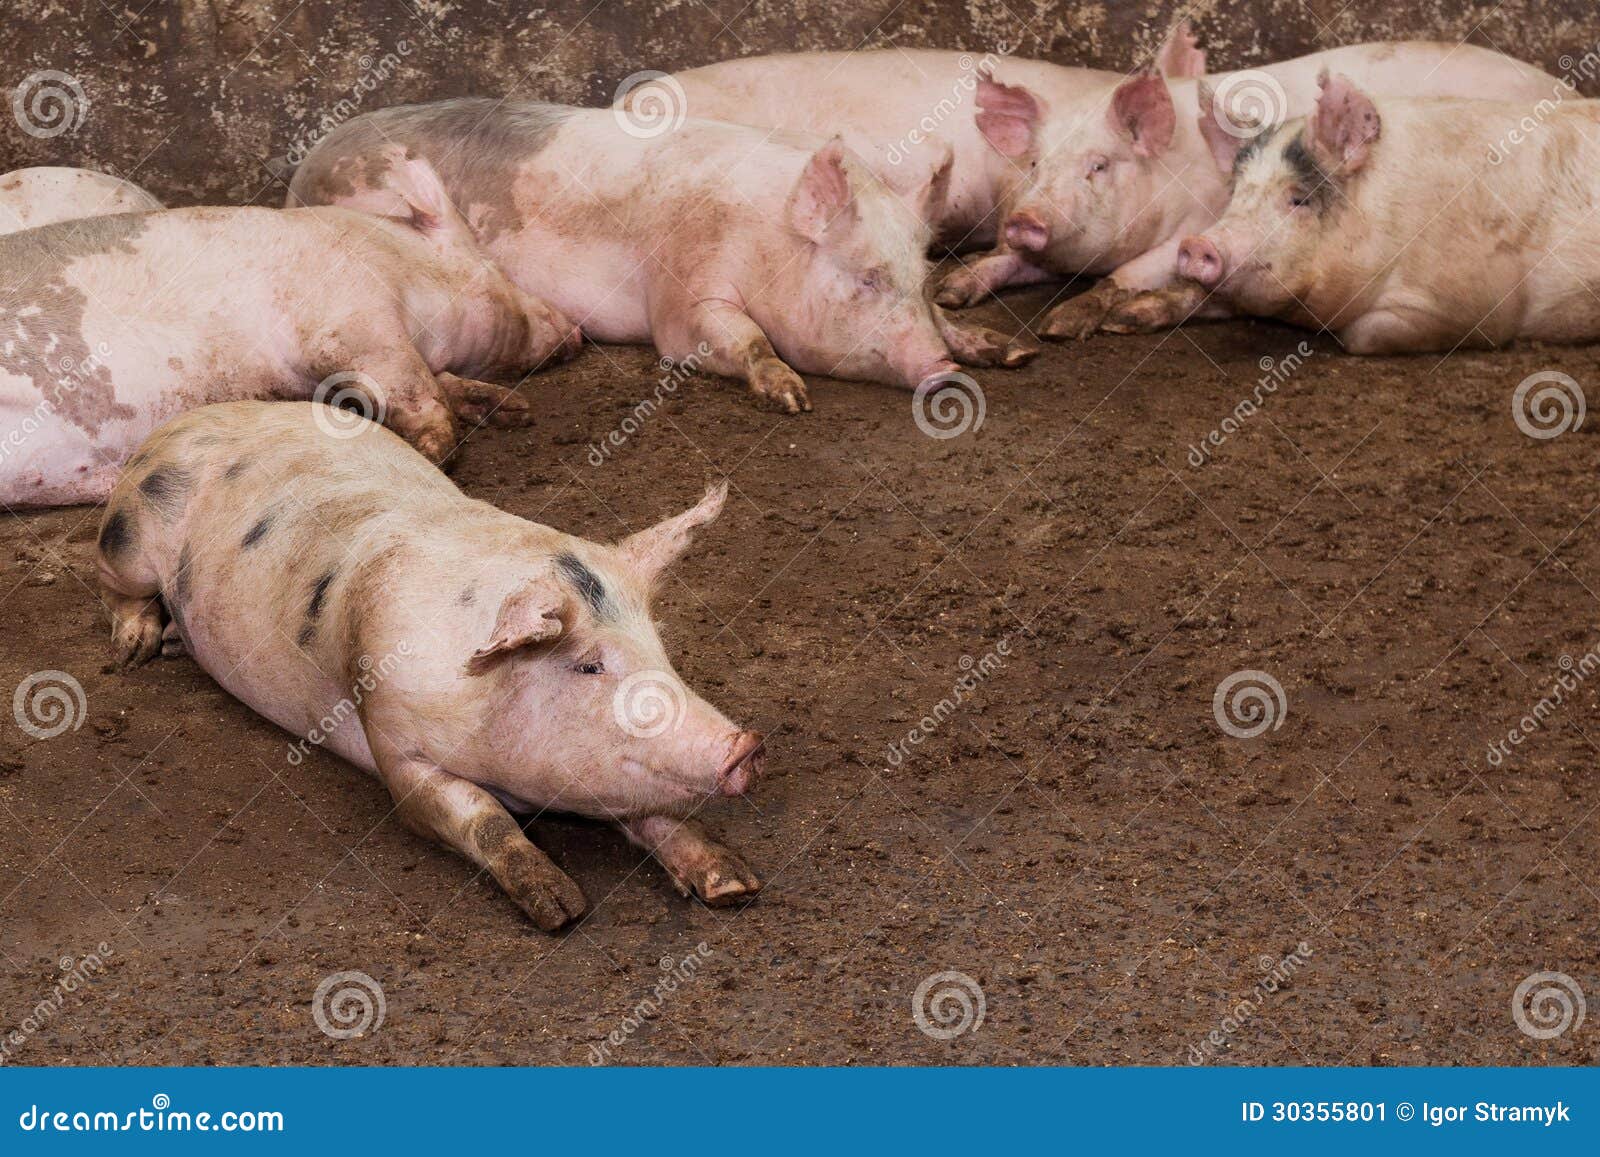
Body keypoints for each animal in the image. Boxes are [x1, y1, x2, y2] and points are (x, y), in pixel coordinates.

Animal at [97, 400, 767, 927]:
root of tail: (187, 417)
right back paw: (136, 651)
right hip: (125, 540)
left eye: (659, 648)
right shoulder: (397, 748)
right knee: (120, 589)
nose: (747, 746)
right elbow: (480, 818)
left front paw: (734, 884)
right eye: (587, 667)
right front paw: (560, 906)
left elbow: (656, 813)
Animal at [285, 99, 1037, 415]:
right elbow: (740, 336)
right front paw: (791, 396)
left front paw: (1010, 351)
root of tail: (305, 168)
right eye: (866, 278)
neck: (764, 236)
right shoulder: (682, 296)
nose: (940, 371)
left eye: (923, 278)